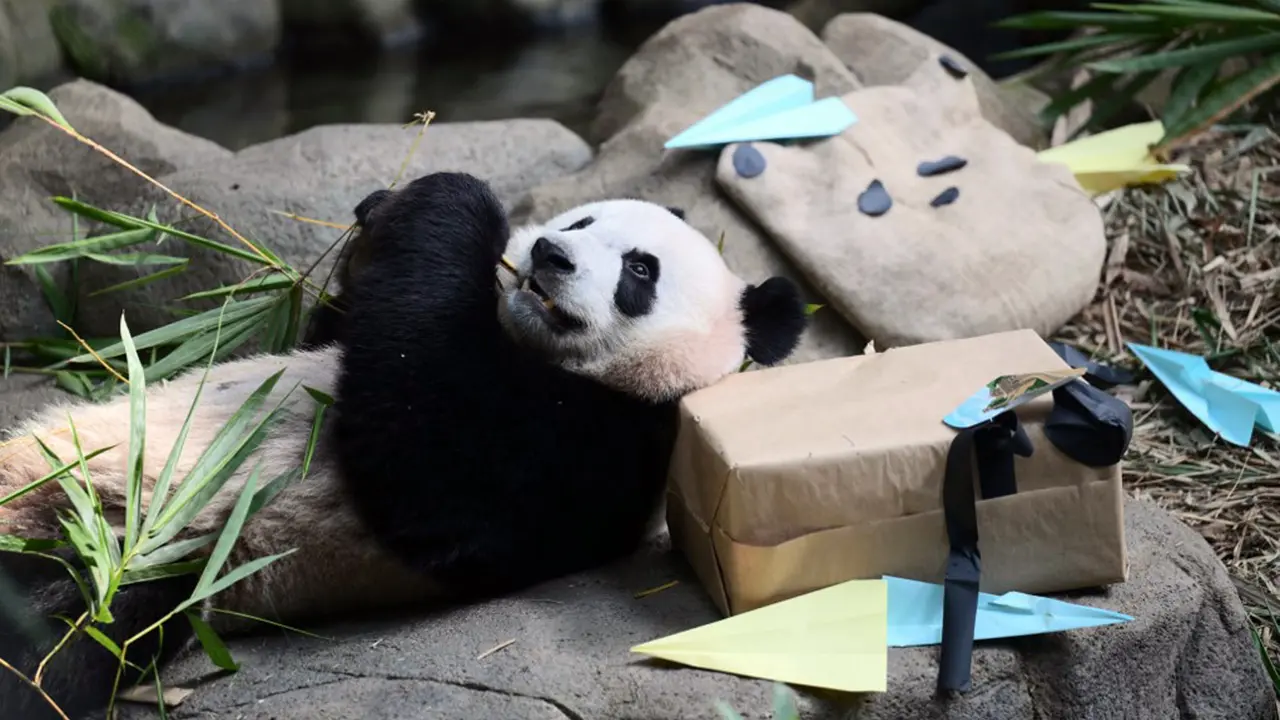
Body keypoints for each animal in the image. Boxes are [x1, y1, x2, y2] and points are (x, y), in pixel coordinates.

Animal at [0, 171, 810, 719]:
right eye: (582, 220)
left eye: (641, 270)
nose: (550, 254)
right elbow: (345, 329)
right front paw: (377, 214)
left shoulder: (605, 447)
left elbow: (438, 474)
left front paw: (459, 201)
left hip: (140, 561)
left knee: (59, 641)